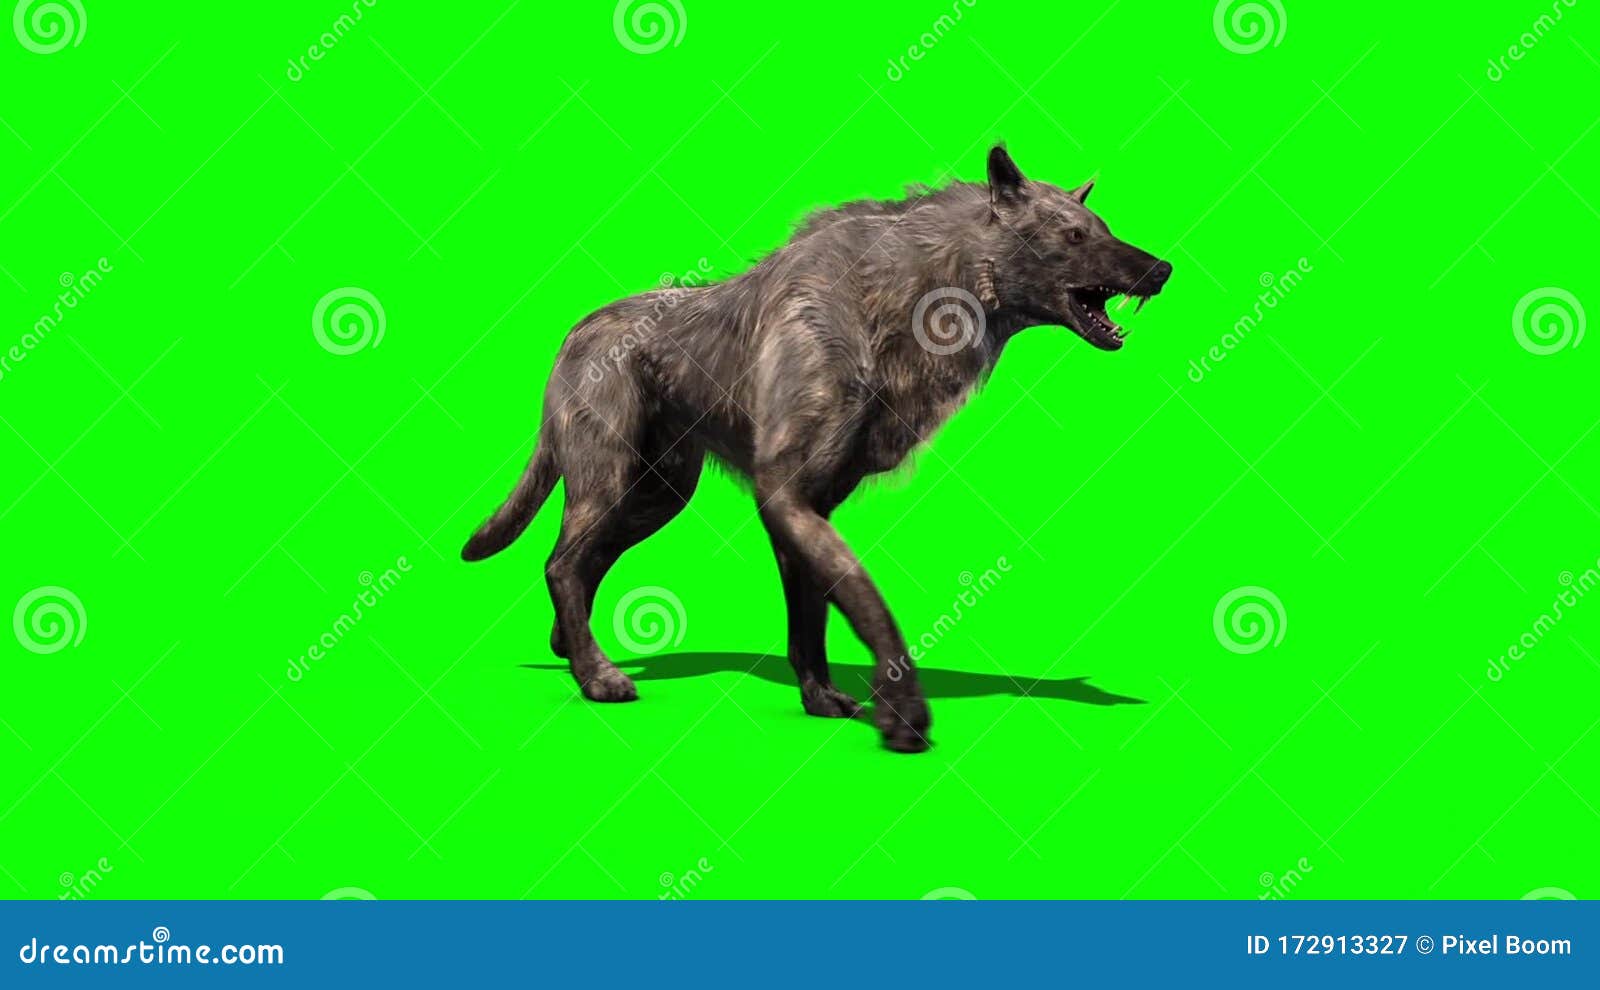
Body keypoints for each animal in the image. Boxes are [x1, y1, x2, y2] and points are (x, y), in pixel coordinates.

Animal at [462, 145, 1172, 752]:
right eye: (1075, 236)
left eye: (1104, 228)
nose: (1163, 268)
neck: (910, 309)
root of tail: (573, 333)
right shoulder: (786, 497)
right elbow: (865, 600)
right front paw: (903, 715)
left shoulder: (807, 507)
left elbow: (811, 619)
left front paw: (824, 700)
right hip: (613, 486)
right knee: (561, 562)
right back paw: (598, 678)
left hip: (657, 498)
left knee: (578, 564)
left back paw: (570, 648)